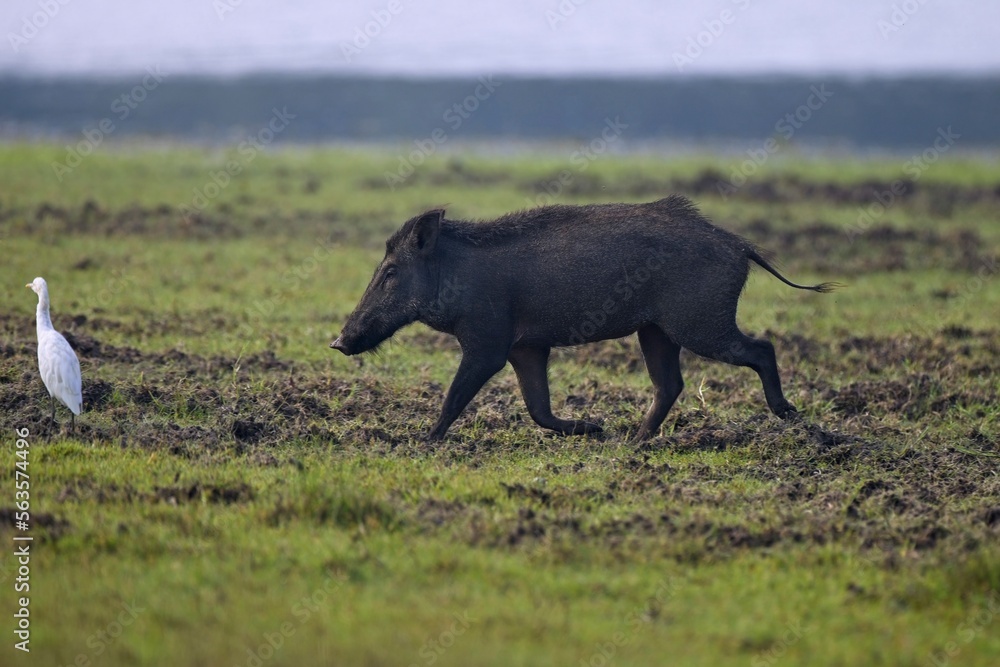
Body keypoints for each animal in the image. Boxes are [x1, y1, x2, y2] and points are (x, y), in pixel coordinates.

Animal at [331, 196, 837, 441]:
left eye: (391, 272)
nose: (337, 342)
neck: (454, 274)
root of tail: (740, 246)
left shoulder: (488, 343)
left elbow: (455, 397)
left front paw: (422, 441)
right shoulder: (527, 348)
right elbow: (537, 408)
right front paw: (593, 429)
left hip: (699, 324)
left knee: (762, 348)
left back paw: (788, 413)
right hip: (656, 331)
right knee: (669, 384)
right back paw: (630, 440)